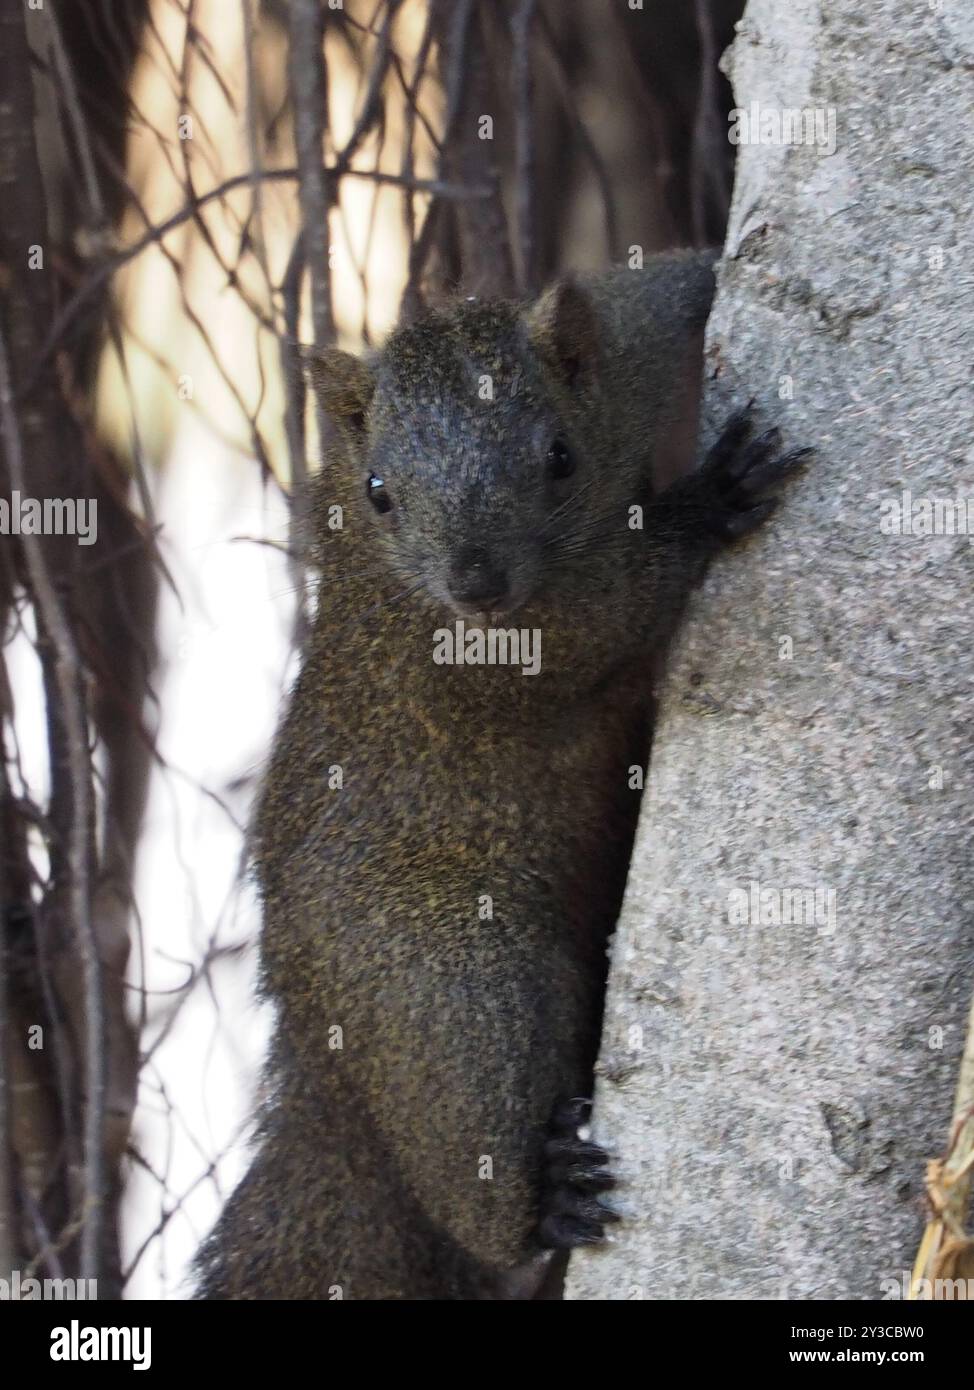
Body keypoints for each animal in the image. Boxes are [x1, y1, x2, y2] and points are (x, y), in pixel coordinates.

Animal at [194, 249, 806, 1300]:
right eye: (380, 489)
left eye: (557, 456)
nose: (477, 585)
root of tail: (322, 1062)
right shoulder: (483, 652)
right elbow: (616, 606)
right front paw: (710, 500)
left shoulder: (627, 348)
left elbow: (662, 290)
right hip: (449, 982)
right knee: (474, 1162)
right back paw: (543, 1205)